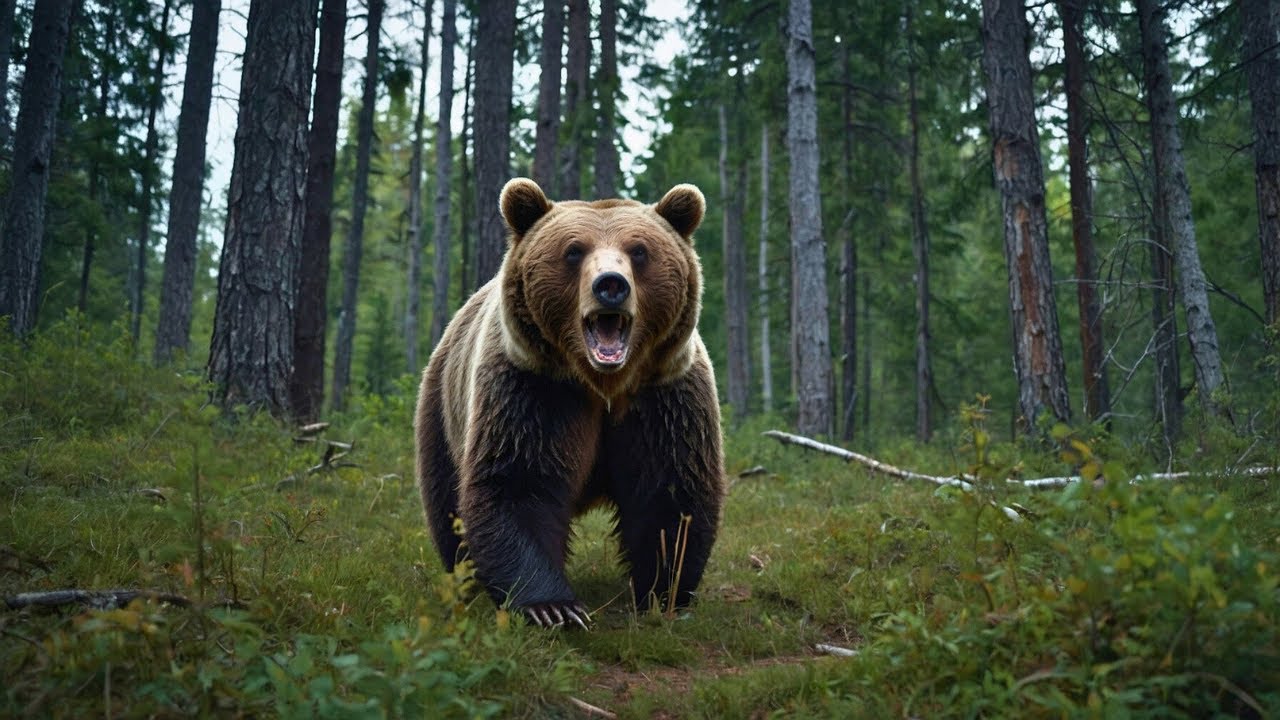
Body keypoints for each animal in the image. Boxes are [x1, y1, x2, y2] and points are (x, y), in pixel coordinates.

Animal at [414, 178, 725, 628]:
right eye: (574, 250)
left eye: (639, 251)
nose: (611, 285)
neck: (603, 385)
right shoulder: (534, 390)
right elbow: (518, 482)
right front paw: (553, 607)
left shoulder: (664, 395)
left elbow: (670, 489)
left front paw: (662, 592)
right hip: (442, 407)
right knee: (446, 505)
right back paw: (463, 579)